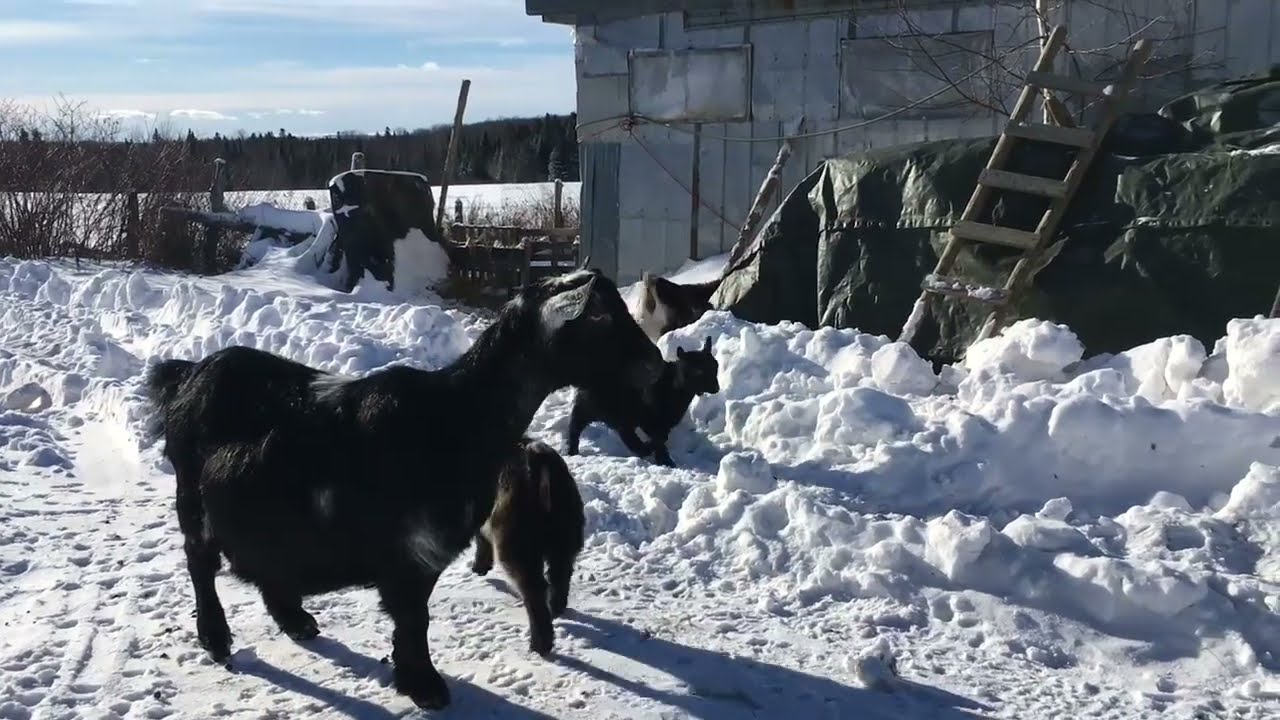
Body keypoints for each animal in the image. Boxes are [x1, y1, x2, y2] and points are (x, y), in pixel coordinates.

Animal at [470, 437, 585, 639]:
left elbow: (480, 540)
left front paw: (479, 568)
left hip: (516, 544)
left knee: (535, 589)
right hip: (566, 537)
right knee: (560, 575)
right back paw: (556, 610)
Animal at [566, 336, 719, 468]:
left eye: (715, 367)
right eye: (699, 372)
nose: (716, 387)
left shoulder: (664, 423)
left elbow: (661, 439)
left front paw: (664, 460)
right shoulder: (649, 421)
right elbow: (656, 440)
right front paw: (664, 460)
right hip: (604, 408)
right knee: (577, 426)